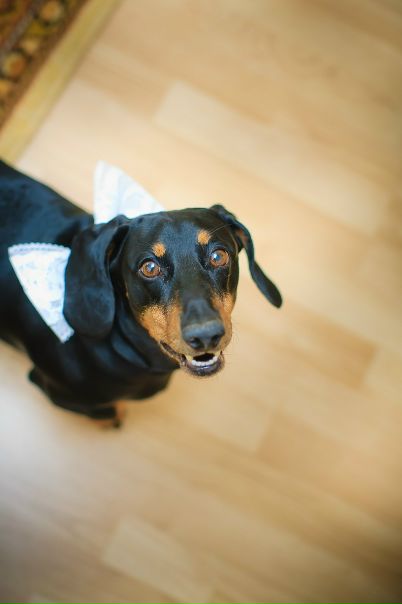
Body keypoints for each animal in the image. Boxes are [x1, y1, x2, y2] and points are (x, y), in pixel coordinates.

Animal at [0, 160, 282, 424]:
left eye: (218, 256)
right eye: (149, 267)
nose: (205, 336)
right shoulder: (55, 390)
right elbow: (109, 410)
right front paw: (116, 417)